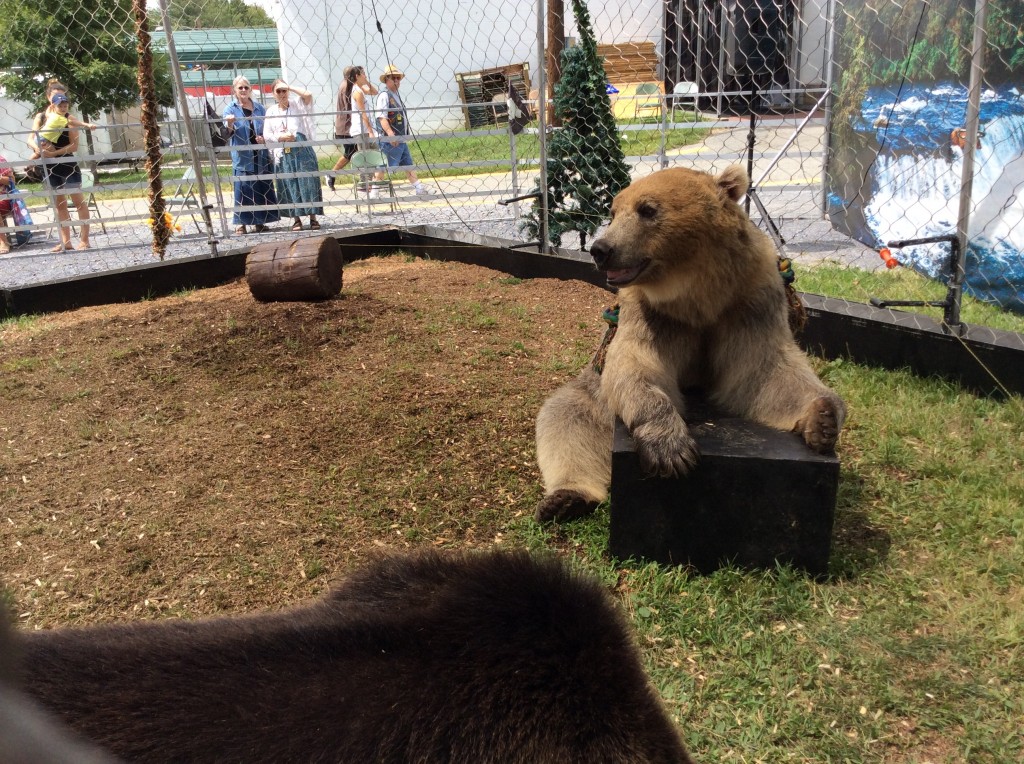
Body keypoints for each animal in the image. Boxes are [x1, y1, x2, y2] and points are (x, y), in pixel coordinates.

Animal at [535, 165, 846, 523]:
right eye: (613, 212)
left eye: (647, 209)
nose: (601, 249)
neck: (698, 296)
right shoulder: (651, 316)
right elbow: (635, 365)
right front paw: (671, 449)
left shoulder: (750, 303)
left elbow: (766, 370)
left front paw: (823, 418)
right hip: (594, 397)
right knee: (566, 419)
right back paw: (566, 498)